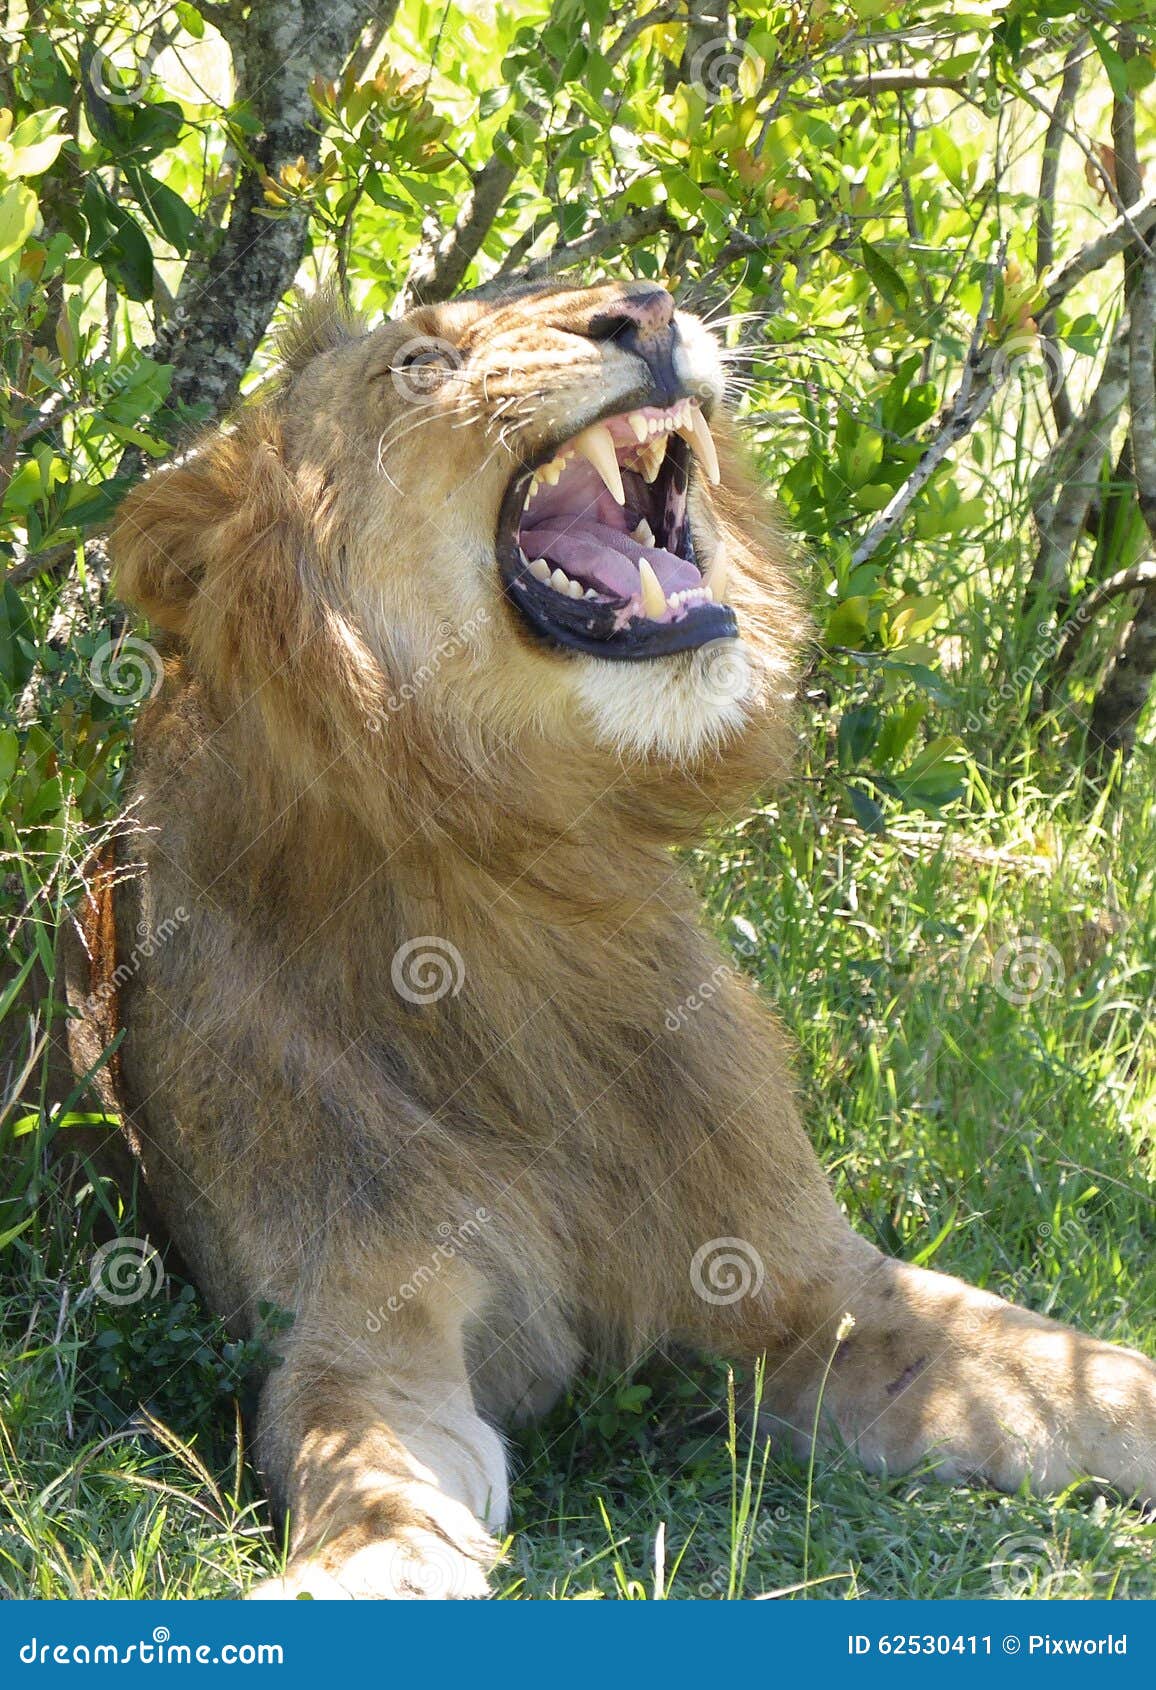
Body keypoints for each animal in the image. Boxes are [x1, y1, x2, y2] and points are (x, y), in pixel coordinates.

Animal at [60, 279, 1156, 1600]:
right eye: (418, 363)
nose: (643, 306)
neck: (517, 872)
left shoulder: (811, 1280)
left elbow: (1088, 1374)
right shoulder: (363, 1313)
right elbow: (369, 1468)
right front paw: (354, 1571)